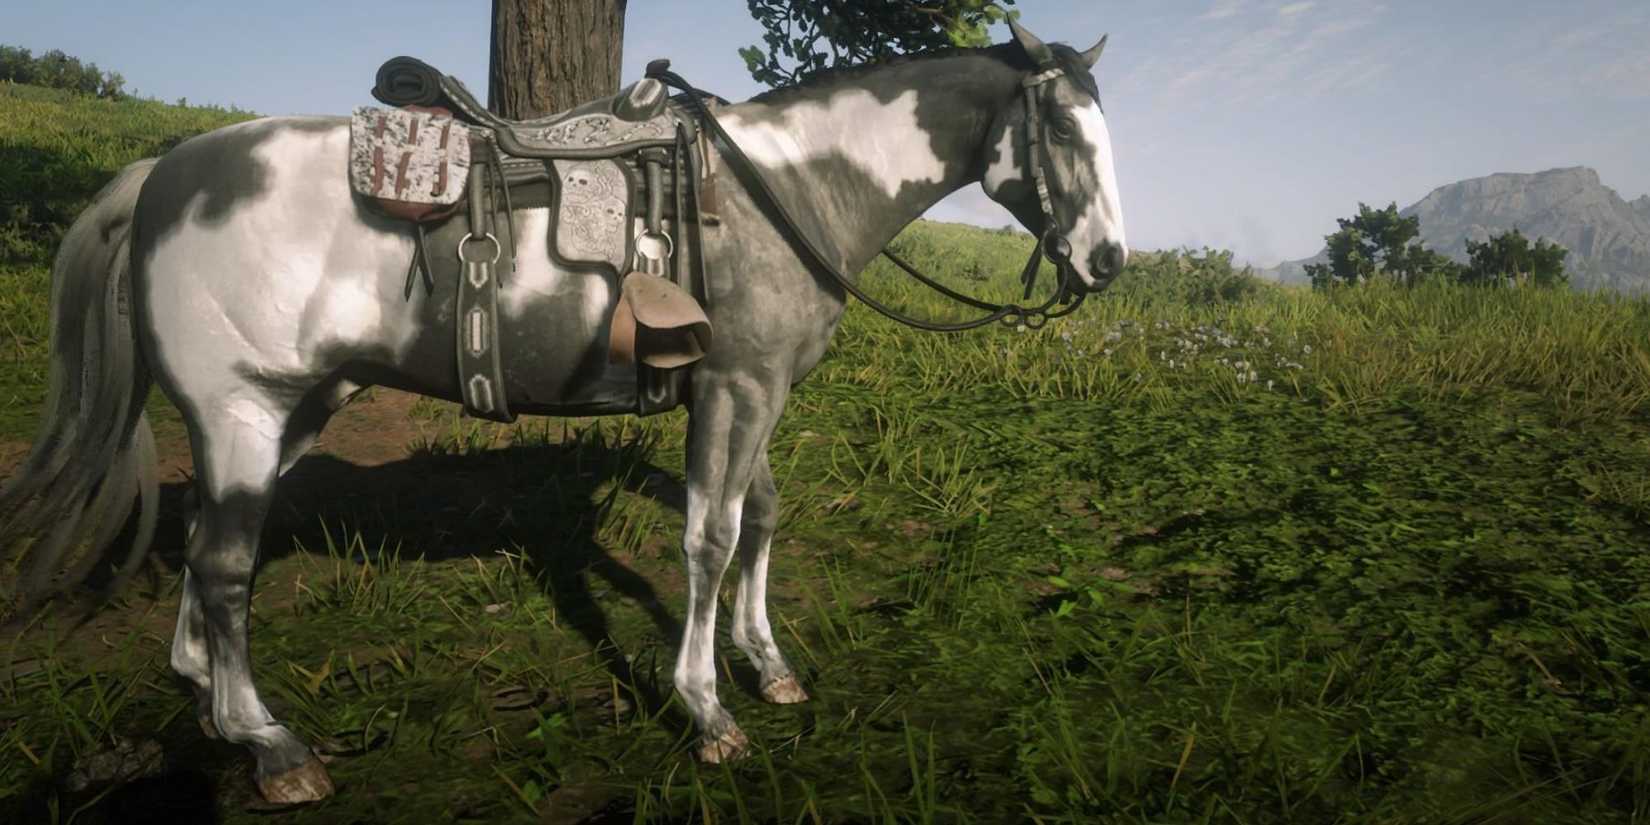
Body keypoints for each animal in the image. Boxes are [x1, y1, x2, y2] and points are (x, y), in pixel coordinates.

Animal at [0, 20, 1126, 803]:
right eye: (1065, 129)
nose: (1110, 260)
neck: (782, 192)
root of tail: (162, 174)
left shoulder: (751, 389)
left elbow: (760, 516)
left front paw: (767, 664)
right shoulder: (738, 387)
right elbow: (710, 537)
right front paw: (707, 707)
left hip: (292, 409)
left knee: (203, 546)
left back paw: (205, 694)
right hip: (240, 408)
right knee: (228, 566)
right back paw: (271, 745)